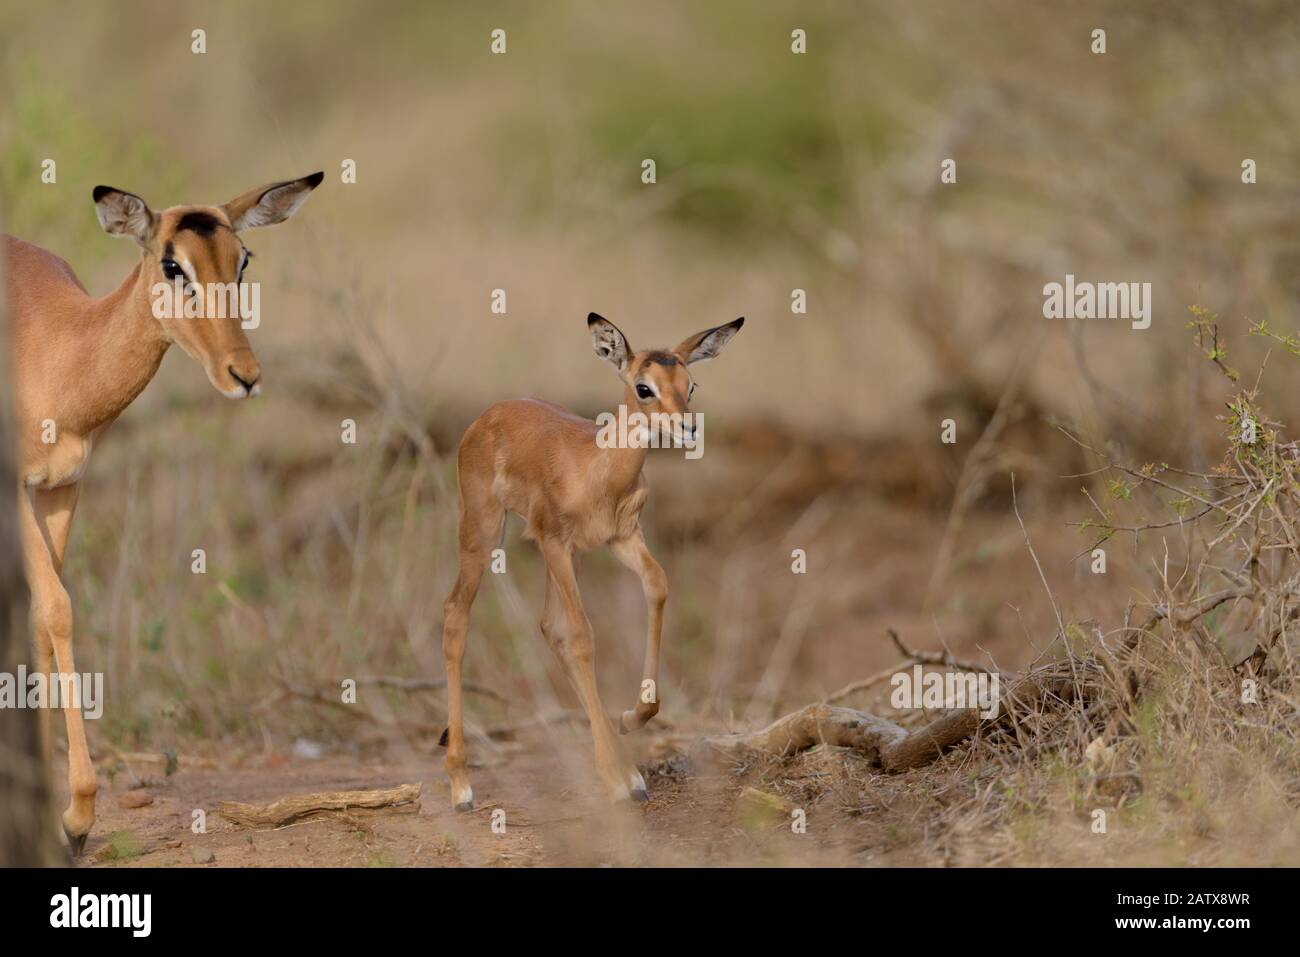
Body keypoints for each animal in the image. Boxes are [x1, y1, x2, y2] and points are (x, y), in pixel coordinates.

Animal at [4, 172, 323, 852]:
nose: (244, 375)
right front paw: (76, 816)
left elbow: (43, 621)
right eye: (172, 263)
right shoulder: (14, 488)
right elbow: (58, 610)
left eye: (242, 260)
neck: (57, 348)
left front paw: (52, 815)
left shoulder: (62, 489)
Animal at [440, 312, 744, 809]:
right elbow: (583, 636)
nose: (689, 428)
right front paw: (617, 776)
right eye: (644, 387)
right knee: (456, 615)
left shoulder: (620, 538)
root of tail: (486, 416)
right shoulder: (556, 542)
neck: (596, 469)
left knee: (549, 626)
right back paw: (461, 785)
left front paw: (631, 721)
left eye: (691, 384)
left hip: (555, 556)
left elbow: (658, 586)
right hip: (484, 534)